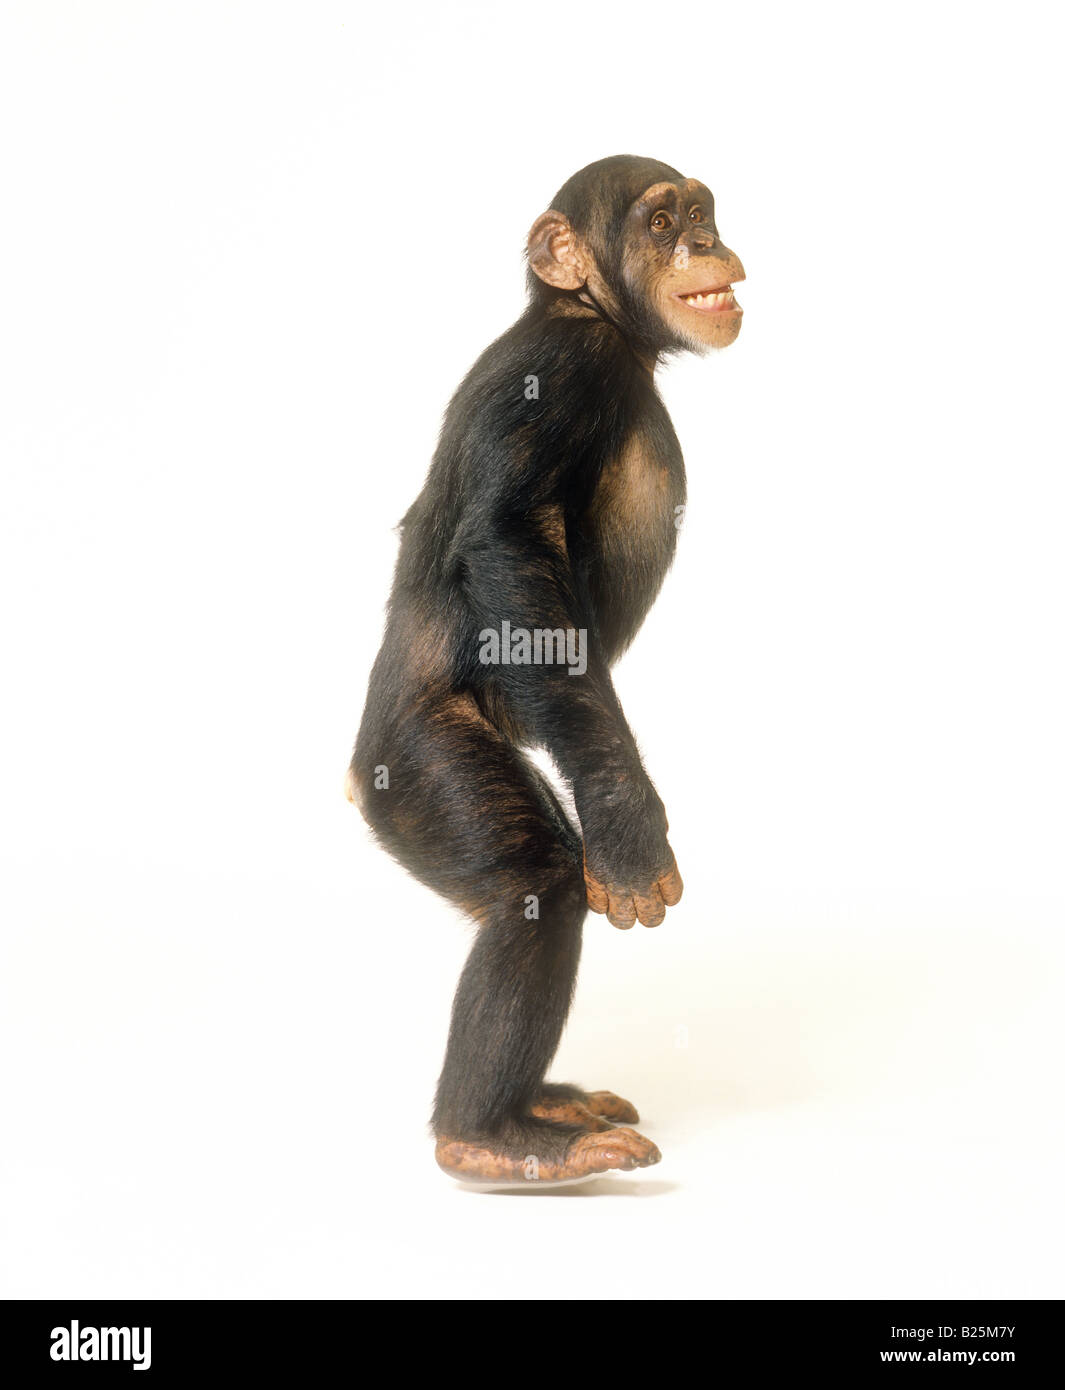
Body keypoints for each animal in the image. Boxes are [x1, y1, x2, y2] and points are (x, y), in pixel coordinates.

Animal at [347, 155, 745, 1185]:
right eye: (661, 221)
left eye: (702, 210)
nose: (704, 239)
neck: (589, 316)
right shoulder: (562, 377)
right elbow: (509, 540)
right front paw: (628, 822)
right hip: (417, 769)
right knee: (536, 887)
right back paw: (488, 1133)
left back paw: (540, 1107)